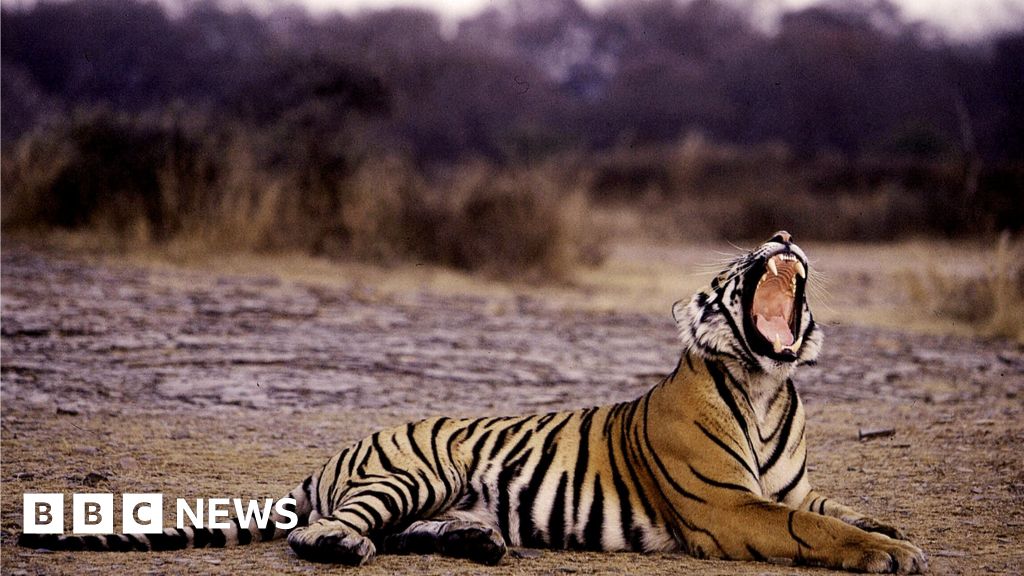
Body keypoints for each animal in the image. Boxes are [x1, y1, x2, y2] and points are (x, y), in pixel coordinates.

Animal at [19, 231, 926, 573]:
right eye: (735, 262)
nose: (782, 236)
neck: (768, 386)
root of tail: (333, 453)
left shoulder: (792, 485)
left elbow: (836, 505)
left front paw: (894, 529)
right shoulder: (730, 508)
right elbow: (811, 527)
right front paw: (893, 553)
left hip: (435, 492)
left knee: (410, 531)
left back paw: (480, 543)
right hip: (411, 472)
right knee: (329, 531)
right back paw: (350, 548)